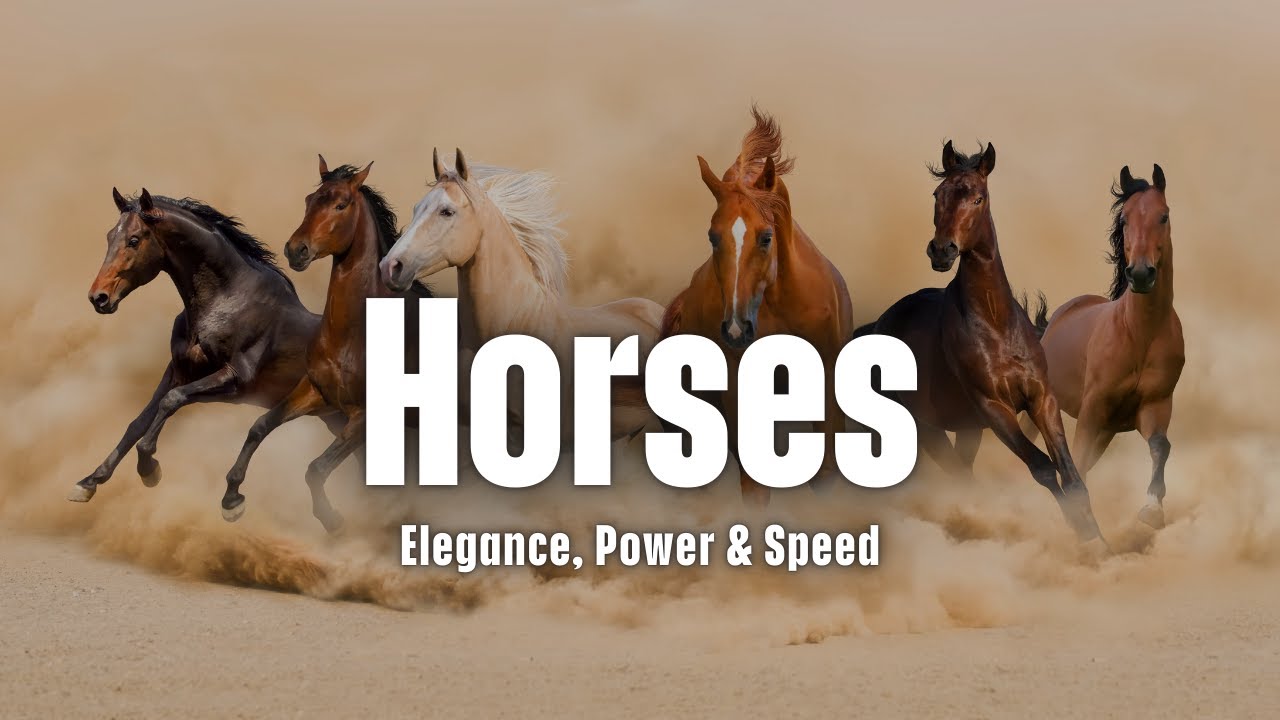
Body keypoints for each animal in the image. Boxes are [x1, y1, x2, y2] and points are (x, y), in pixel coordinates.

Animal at [70, 189, 324, 504]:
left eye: (134, 239)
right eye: (109, 237)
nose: (99, 298)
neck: (227, 300)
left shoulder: (234, 380)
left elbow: (171, 401)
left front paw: (149, 468)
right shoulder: (179, 371)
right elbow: (138, 423)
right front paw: (89, 481)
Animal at [220, 156, 432, 533]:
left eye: (341, 204)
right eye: (309, 200)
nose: (296, 249)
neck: (355, 337)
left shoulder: (365, 417)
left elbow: (316, 468)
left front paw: (331, 519)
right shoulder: (318, 392)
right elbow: (260, 427)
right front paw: (232, 499)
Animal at [857, 142, 1105, 545]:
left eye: (978, 197)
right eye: (938, 194)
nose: (941, 251)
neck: (995, 324)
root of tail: (878, 324)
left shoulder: (1041, 399)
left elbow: (1070, 475)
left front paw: (1099, 540)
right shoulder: (993, 407)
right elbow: (1042, 468)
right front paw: (1084, 536)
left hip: (965, 431)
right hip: (927, 430)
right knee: (956, 477)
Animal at [1032, 165, 1184, 529]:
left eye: (1164, 216)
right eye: (1125, 219)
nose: (1141, 273)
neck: (1139, 335)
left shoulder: (1154, 406)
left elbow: (1161, 446)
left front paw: (1152, 509)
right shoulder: (1092, 409)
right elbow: (1075, 464)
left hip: (1107, 431)